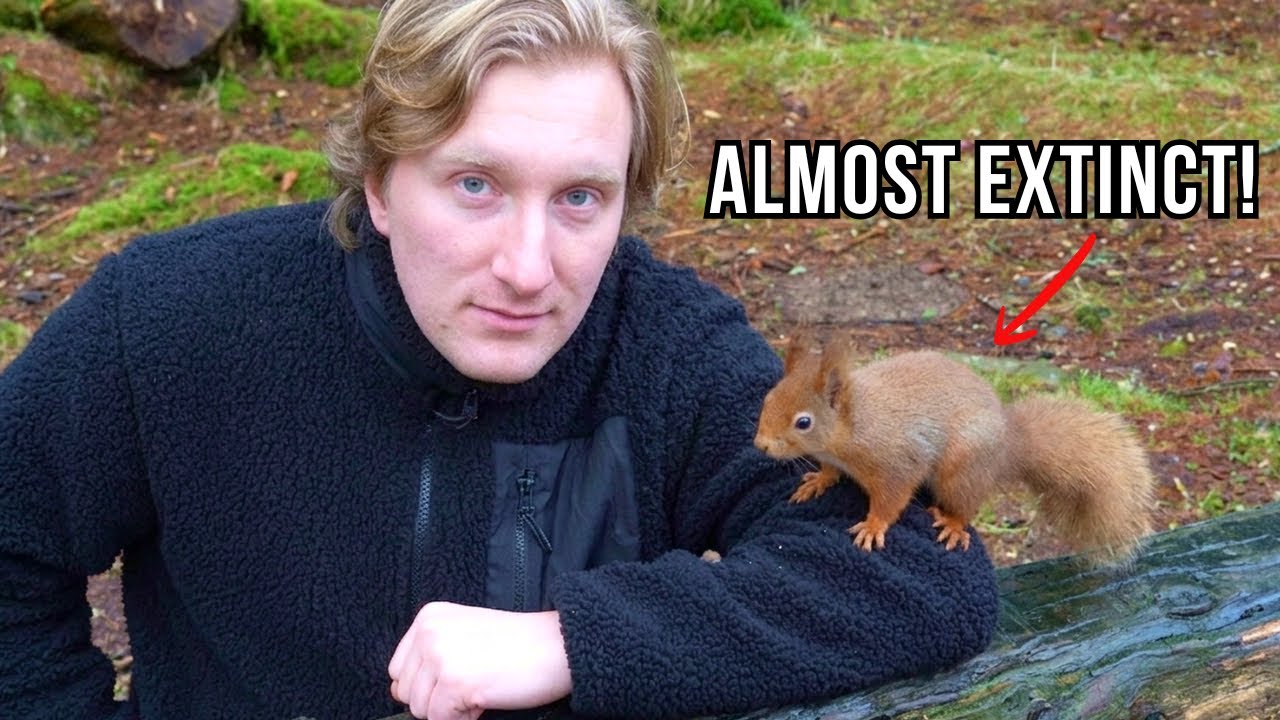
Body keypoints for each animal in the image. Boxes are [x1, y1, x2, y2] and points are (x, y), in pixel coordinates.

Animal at [753, 334, 1157, 567]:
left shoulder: (895, 461)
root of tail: (1006, 447)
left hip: (960, 469)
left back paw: (952, 524)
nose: (761, 445)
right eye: (767, 398)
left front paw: (873, 525)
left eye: (803, 422)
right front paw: (818, 481)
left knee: (964, 503)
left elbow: (892, 497)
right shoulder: (835, 457)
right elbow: (830, 471)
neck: (852, 426)